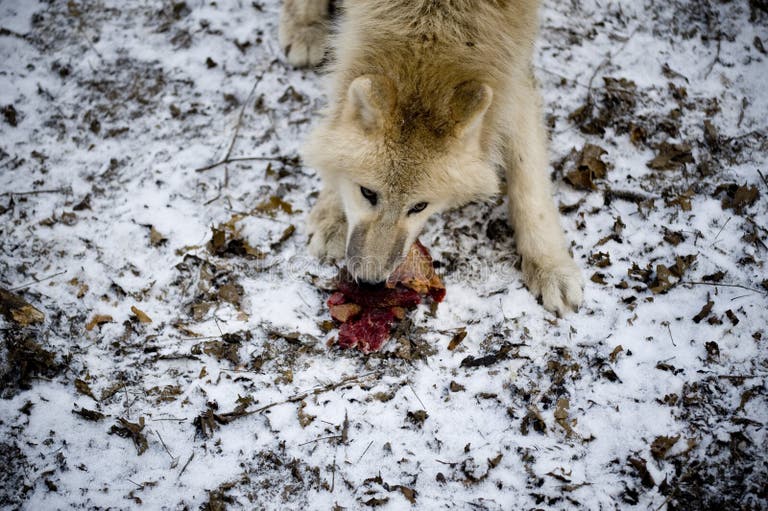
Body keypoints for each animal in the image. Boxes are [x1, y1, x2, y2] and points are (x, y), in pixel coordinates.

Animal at [280, 0, 584, 316]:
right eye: (367, 193)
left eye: (419, 206)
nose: (370, 282)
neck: (434, 20)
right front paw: (332, 215)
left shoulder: (516, 71)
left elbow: (529, 179)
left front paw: (551, 268)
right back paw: (304, 27)